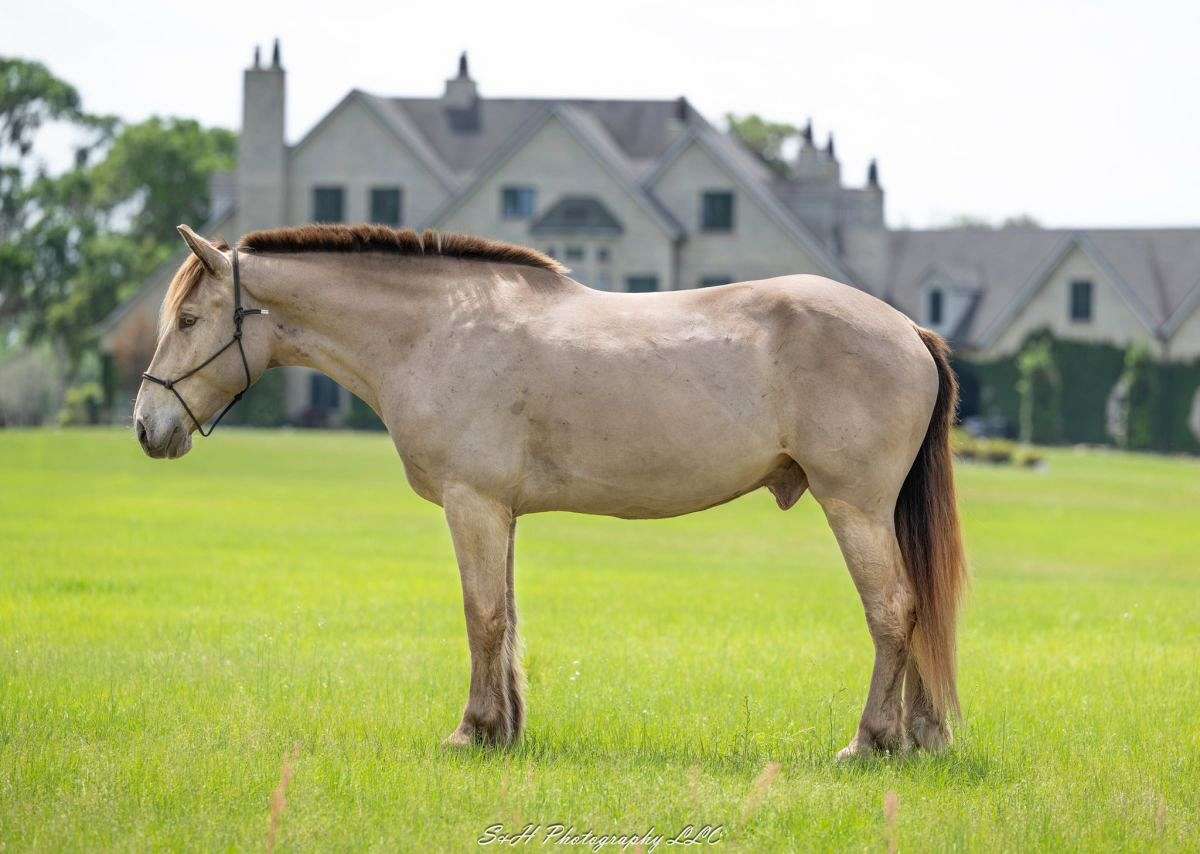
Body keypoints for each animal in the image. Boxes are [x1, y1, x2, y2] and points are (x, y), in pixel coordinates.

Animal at [134, 223, 967, 759]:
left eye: (189, 317)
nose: (147, 425)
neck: (437, 330)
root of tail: (909, 330)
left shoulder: (471, 502)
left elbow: (481, 617)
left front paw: (472, 730)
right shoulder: (499, 510)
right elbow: (504, 620)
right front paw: (505, 729)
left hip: (855, 509)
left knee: (893, 611)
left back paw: (870, 740)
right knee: (917, 614)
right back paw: (920, 739)